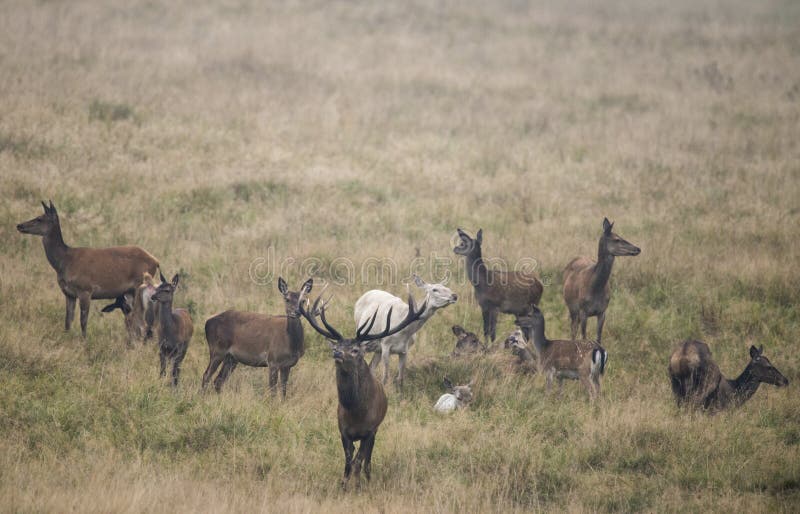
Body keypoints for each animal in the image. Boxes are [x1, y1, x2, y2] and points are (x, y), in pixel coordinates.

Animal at [16, 201, 160, 338]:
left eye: (39, 218)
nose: (19, 225)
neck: (65, 262)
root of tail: (156, 261)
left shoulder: (85, 289)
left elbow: (83, 321)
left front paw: (84, 340)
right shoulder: (69, 293)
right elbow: (68, 320)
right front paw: (66, 338)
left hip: (138, 286)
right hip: (130, 292)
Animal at [298, 291, 427, 489]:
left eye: (355, 350)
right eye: (337, 346)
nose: (336, 353)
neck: (356, 412)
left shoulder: (370, 430)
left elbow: (359, 461)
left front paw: (358, 486)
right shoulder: (343, 430)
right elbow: (348, 461)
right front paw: (343, 486)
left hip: (376, 430)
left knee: (367, 459)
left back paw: (367, 479)